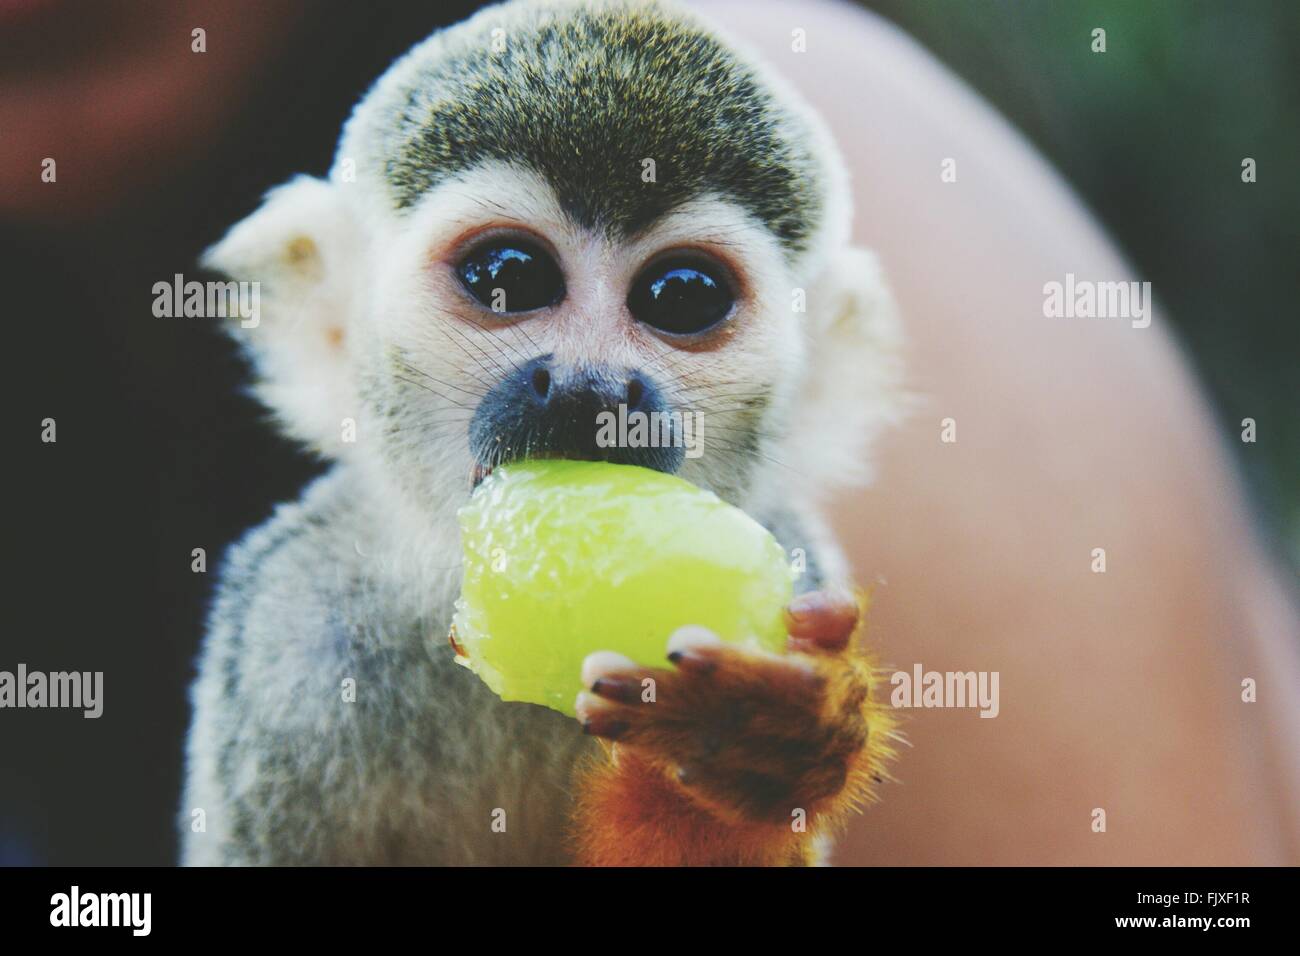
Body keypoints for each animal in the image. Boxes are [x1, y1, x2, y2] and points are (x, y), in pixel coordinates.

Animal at [181, 0, 904, 866]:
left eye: (684, 295)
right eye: (509, 274)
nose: (590, 387)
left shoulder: (800, 571)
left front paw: (752, 750)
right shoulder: (284, 637)